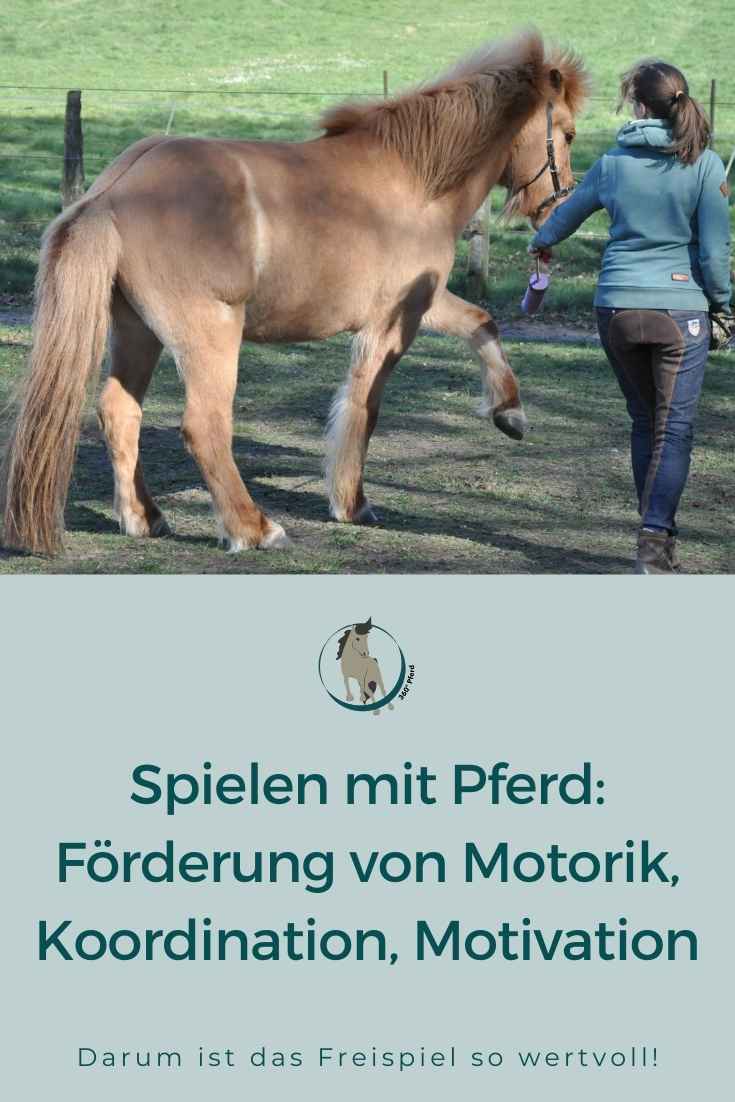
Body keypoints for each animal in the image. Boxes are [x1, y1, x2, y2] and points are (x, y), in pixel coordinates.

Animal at [0, 29, 589, 556]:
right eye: (568, 133)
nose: (559, 208)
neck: (415, 180)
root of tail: (114, 191)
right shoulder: (393, 323)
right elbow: (364, 407)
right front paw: (351, 502)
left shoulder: (424, 303)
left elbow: (482, 323)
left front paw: (509, 413)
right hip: (210, 336)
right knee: (204, 427)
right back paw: (253, 529)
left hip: (137, 331)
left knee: (120, 413)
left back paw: (145, 518)